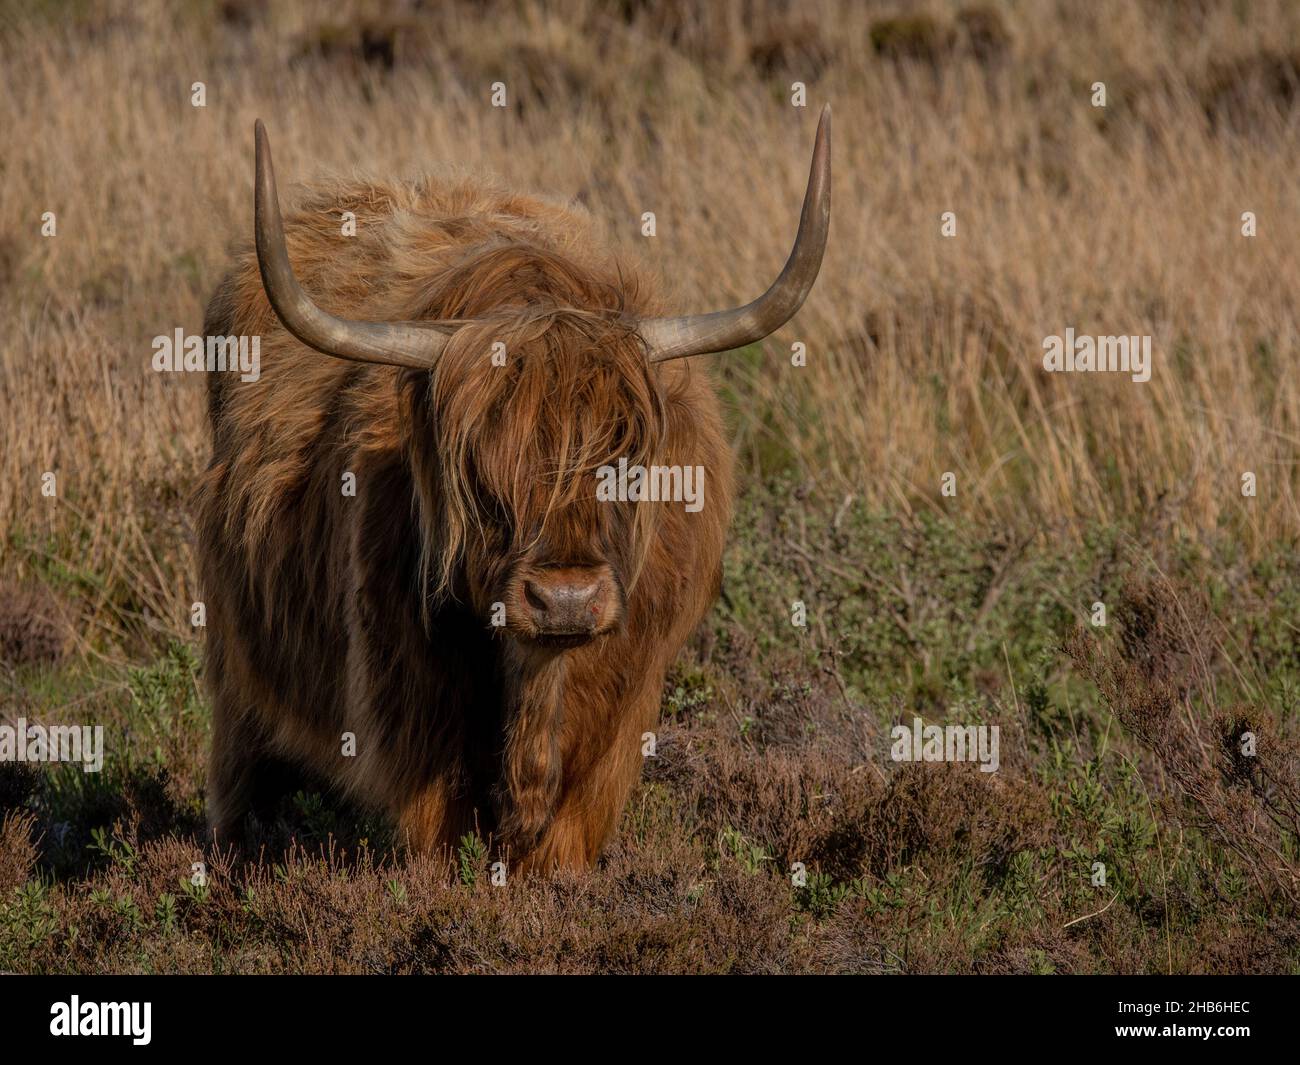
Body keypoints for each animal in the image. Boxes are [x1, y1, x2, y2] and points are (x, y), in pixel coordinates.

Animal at [195, 108, 830, 873]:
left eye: (626, 463)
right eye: (479, 475)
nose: (566, 599)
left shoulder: (614, 731)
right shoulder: (417, 722)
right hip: (234, 656)